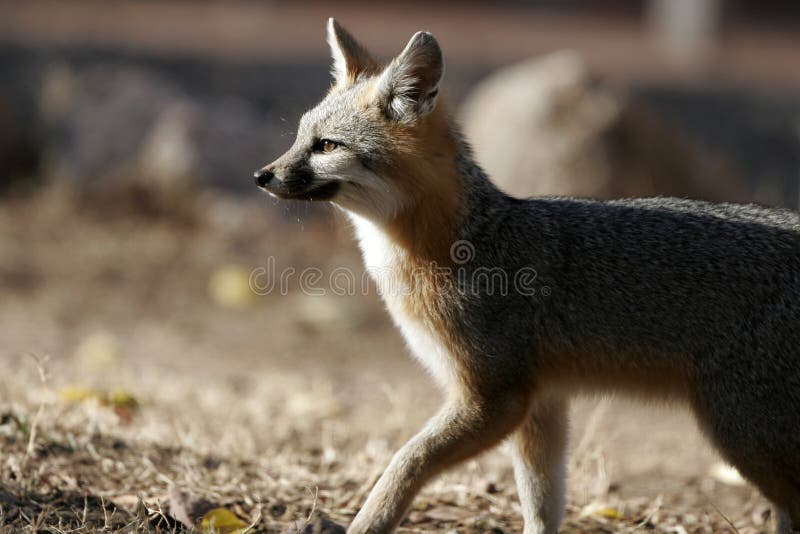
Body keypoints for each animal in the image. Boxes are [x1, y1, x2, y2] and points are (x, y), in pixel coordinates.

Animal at [254, 19, 800, 534]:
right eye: (298, 138)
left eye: (327, 146)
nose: (261, 176)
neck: (469, 242)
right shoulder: (542, 405)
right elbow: (541, 502)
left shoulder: (495, 398)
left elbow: (406, 460)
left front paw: (367, 522)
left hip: (740, 430)